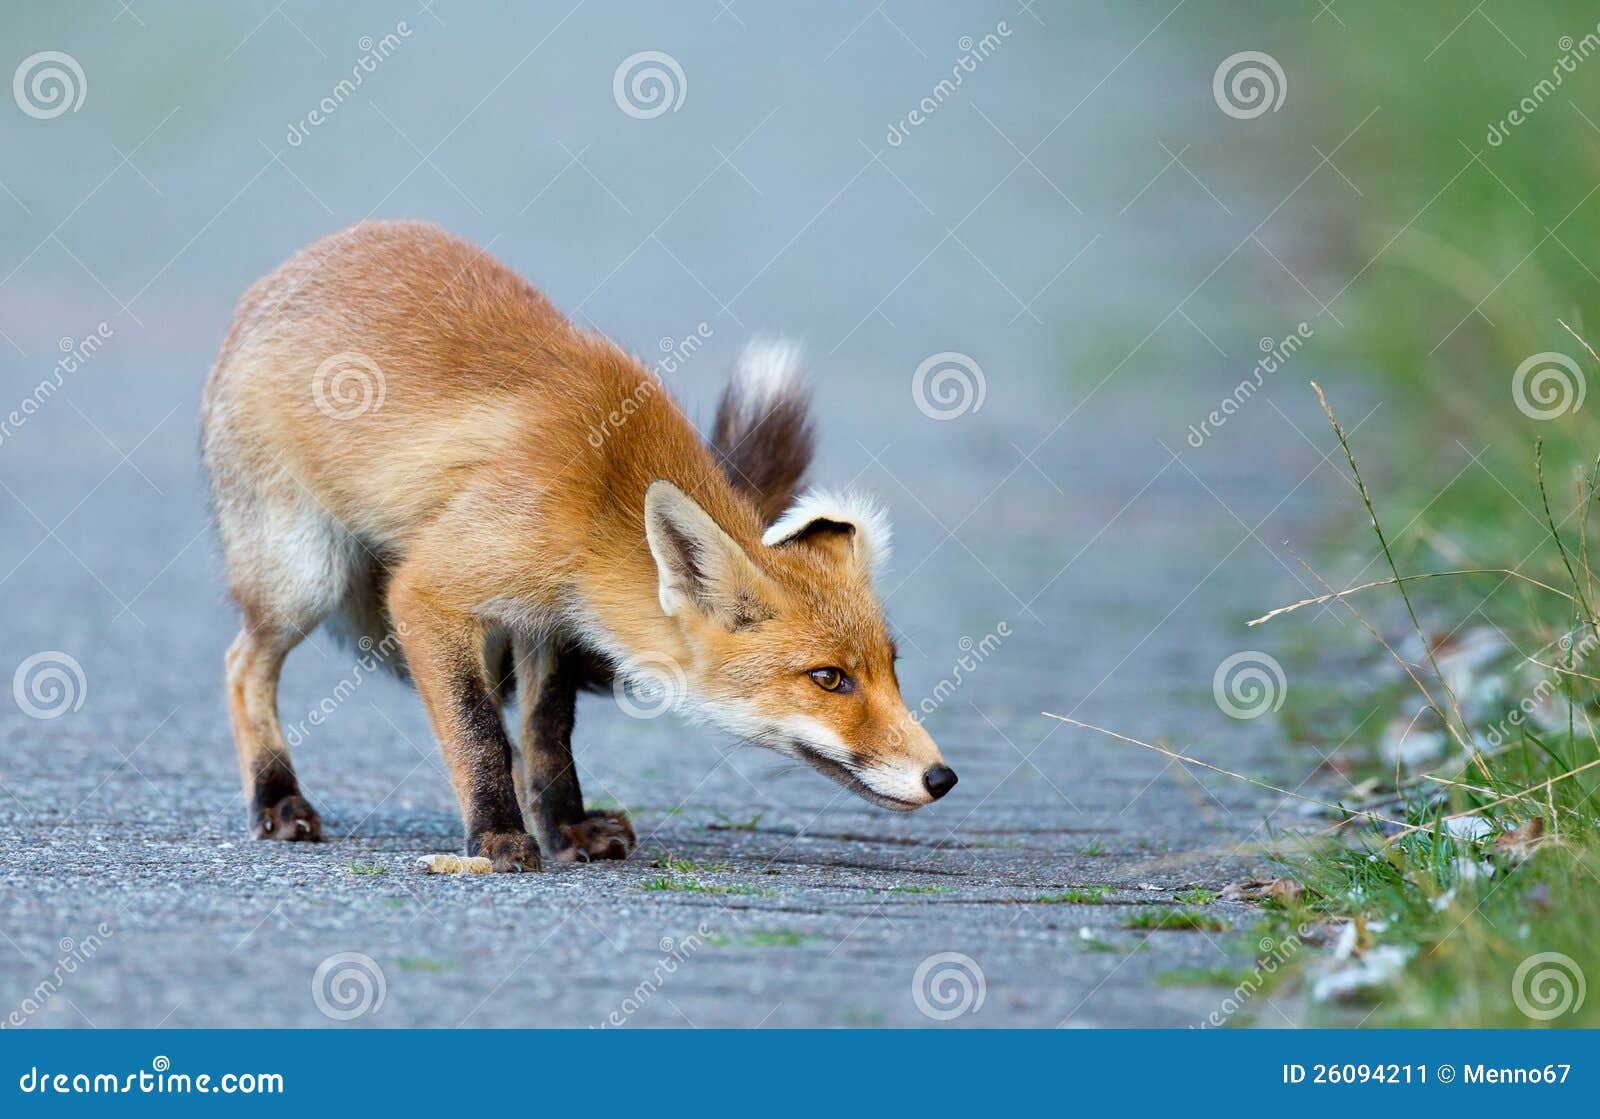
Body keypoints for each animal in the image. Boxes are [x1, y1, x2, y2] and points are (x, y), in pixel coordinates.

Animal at [200, 220, 956, 871]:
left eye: (892, 669)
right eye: (828, 678)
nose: (942, 777)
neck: (602, 490)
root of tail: (280, 277)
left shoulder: (551, 619)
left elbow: (544, 733)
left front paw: (564, 827)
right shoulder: (428, 589)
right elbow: (479, 731)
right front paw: (497, 838)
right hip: (305, 575)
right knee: (241, 666)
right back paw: (276, 798)